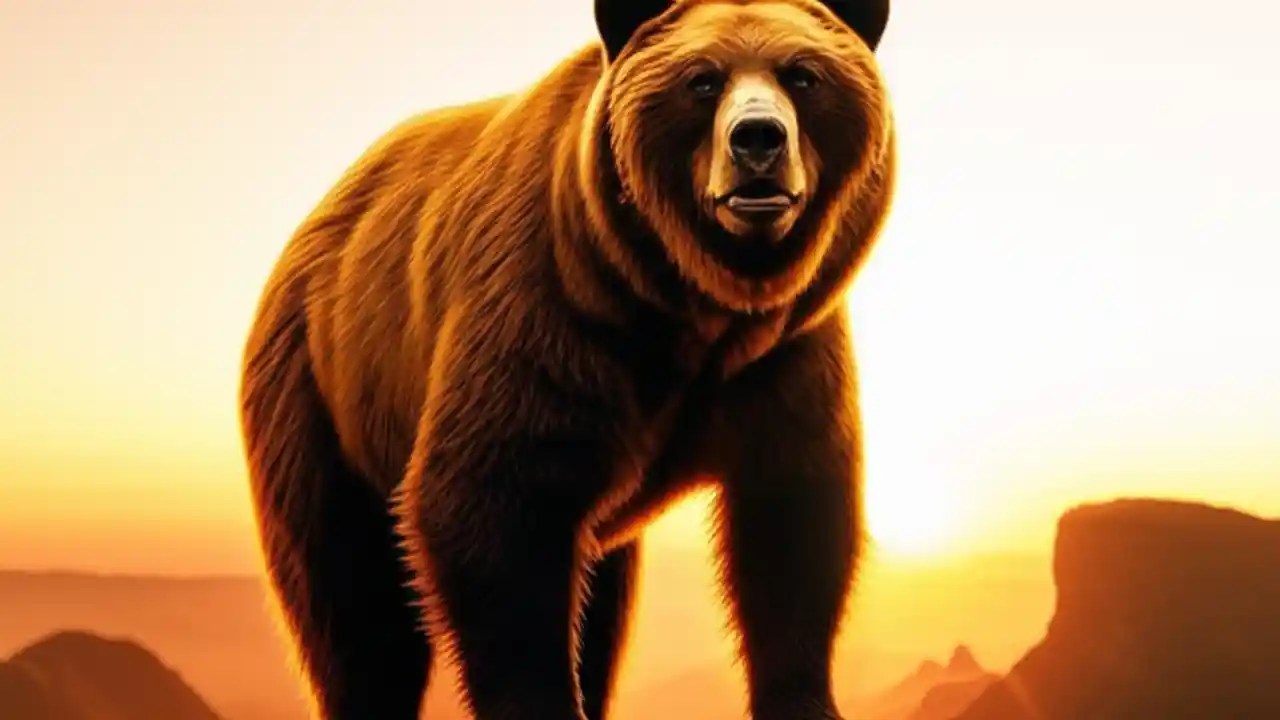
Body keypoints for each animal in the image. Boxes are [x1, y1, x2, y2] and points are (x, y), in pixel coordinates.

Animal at [238, 1, 895, 719]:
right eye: (701, 80)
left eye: (803, 74)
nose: (757, 140)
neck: (691, 305)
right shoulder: (549, 314)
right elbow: (491, 509)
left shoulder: (785, 355)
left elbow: (793, 524)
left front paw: (802, 697)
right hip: (319, 390)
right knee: (351, 602)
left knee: (600, 602)